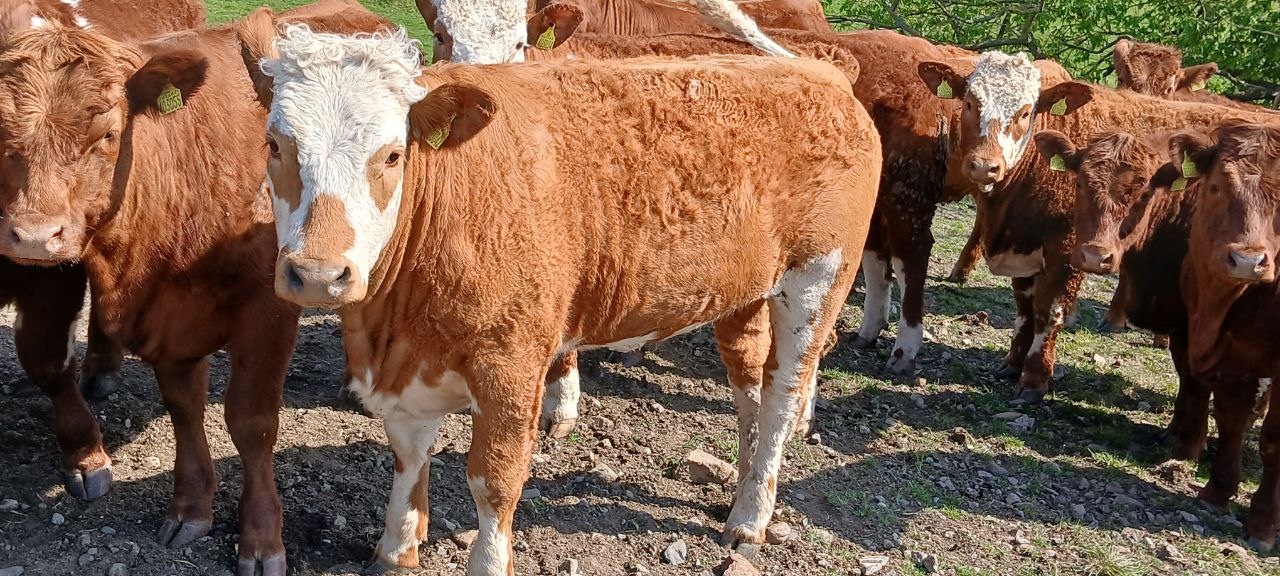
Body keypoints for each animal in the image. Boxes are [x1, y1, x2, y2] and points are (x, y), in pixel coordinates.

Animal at [237, 1, 882, 572]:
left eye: (393, 155)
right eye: (274, 145)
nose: (319, 274)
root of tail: (820, 72)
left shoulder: (512, 363)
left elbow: (493, 483)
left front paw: (486, 562)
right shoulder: (405, 367)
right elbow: (408, 453)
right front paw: (395, 550)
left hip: (818, 280)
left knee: (783, 395)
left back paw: (751, 518)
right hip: (744, 294)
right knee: (751, 389)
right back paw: (745, 488)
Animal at [916, 53, 1277, 403]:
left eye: (1025, 112)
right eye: (969, 103)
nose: (984, 166)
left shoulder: (1068, 248)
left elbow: (1049, 311)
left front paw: (1034, 379)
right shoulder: (1028, 246)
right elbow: (1025, 306)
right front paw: (1013, 363)